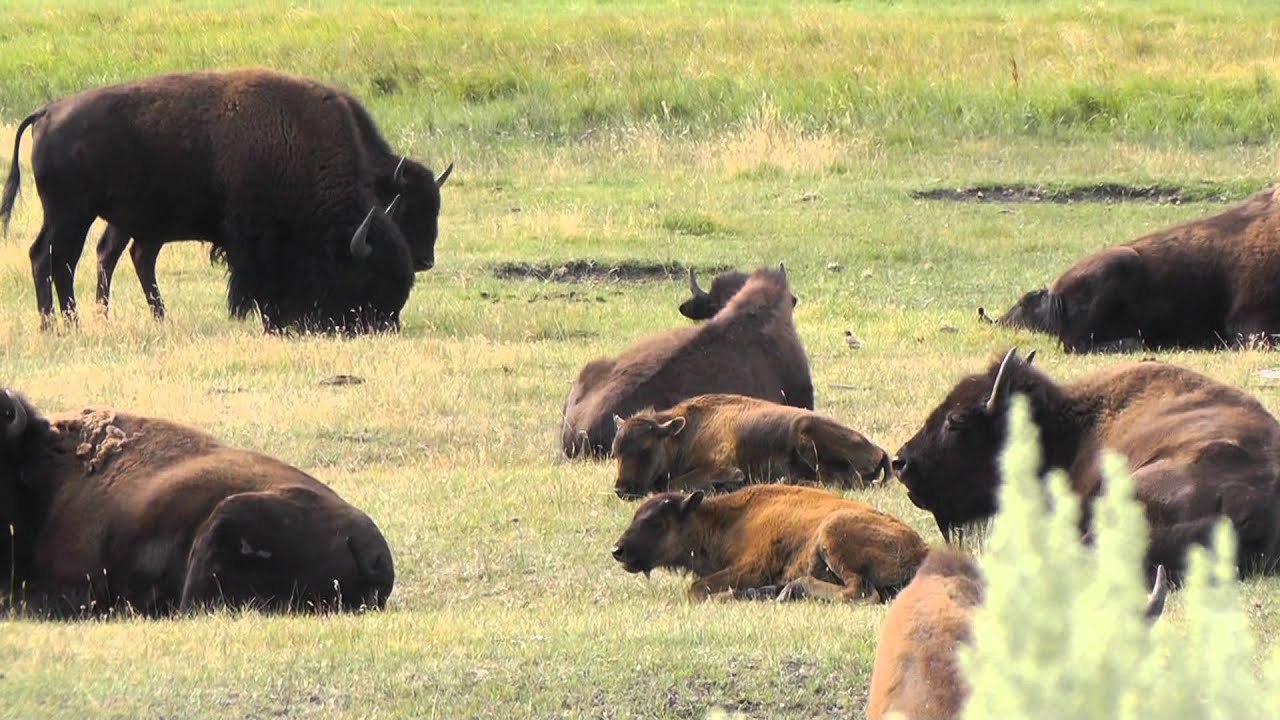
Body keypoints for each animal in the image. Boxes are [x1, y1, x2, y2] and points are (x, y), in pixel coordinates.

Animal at [1, 68, 452, 333]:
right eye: (367, 277)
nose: (385, 323)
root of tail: (47, 112)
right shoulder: (251, 240)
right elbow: (253, 282)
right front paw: (267, 320)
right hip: (69, 213)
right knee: (49, 257)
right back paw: (58, 325)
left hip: (97, 217)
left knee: (85, 259)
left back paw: (90, 321)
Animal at [610, 393, 892, 499]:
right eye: (615, 452)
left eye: (646, 450)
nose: (623, 489)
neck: (684, 433)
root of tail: (878, 450)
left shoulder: (721, 466)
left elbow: (675, 483)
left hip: (806, 435)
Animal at [610, 485, 926, 602]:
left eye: (655, 521)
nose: (617, 550)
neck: (723, 521)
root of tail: (921, 550)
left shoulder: (751, 566)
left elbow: (697, 589)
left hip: (832, 533)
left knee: (860, 592)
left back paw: (788, 589)